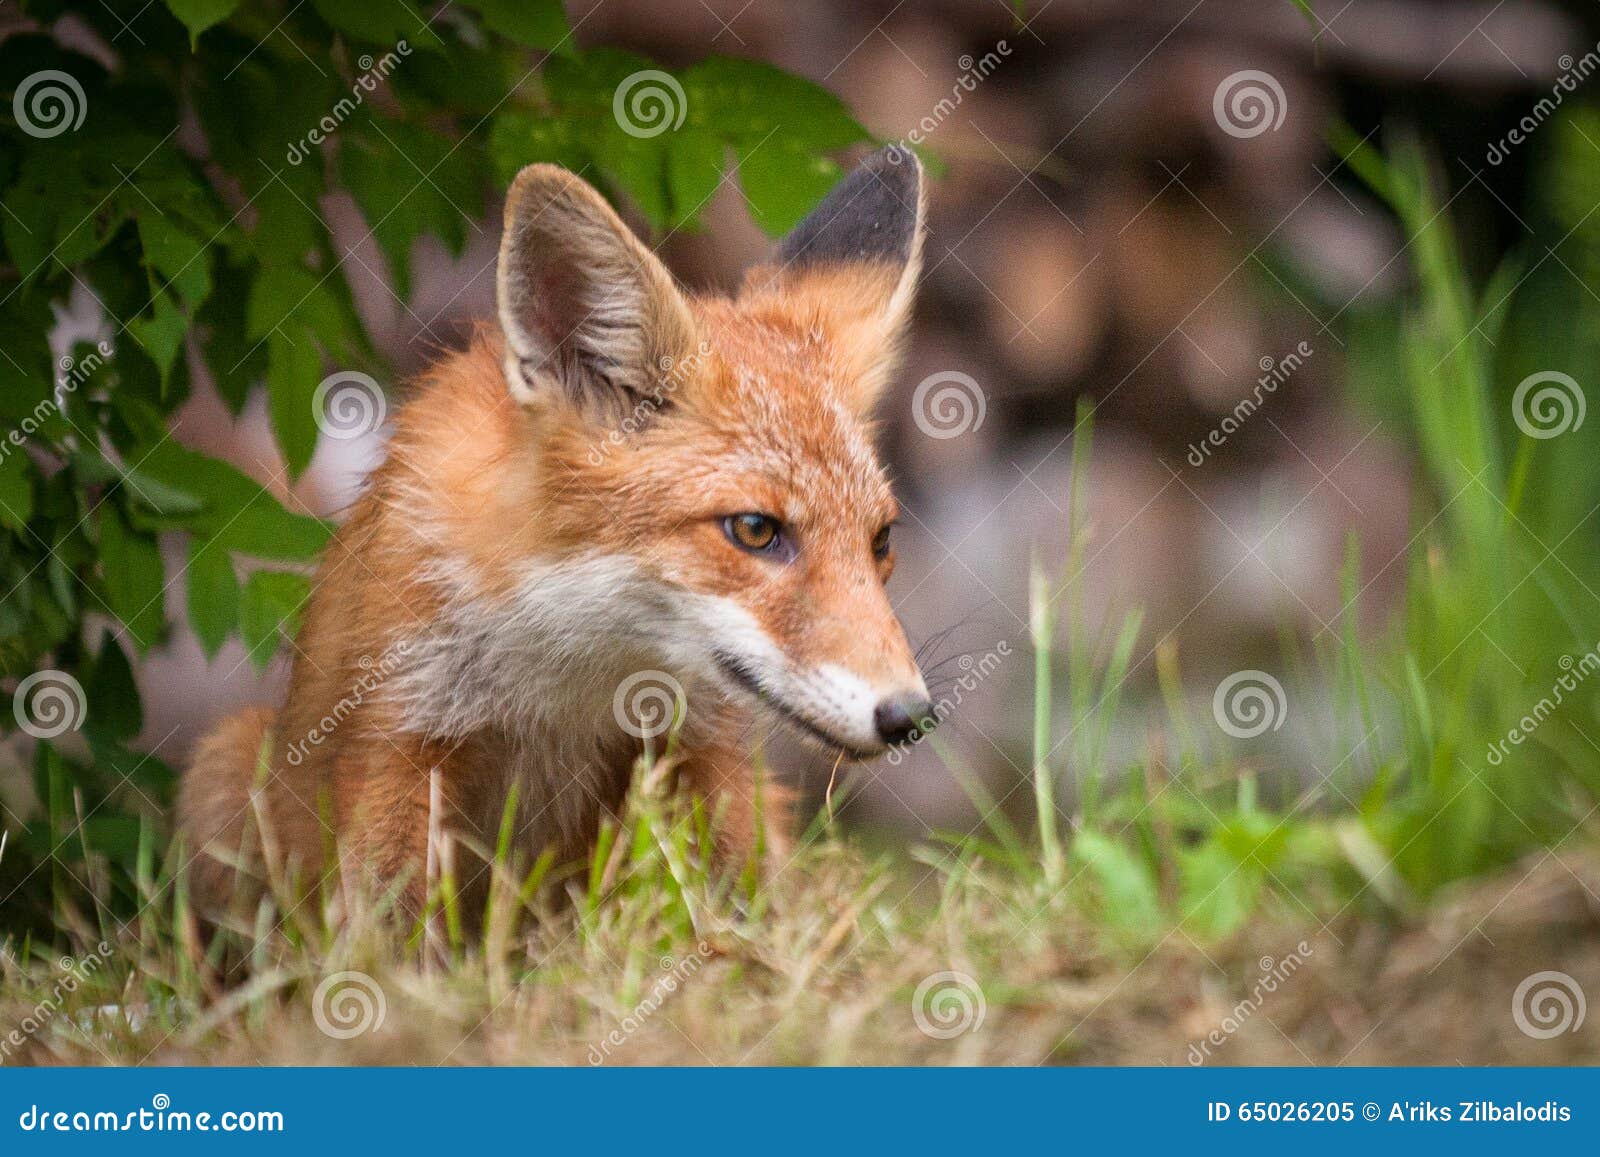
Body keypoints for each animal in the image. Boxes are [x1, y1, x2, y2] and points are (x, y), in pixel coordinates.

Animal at [178, 146, 935, 922]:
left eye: (880, 540)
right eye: (755, 529)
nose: (908, 715)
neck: (572, 671)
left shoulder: (702, 751)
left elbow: (743, 903)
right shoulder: (397, 739)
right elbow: (385, 924)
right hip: (223, 764)